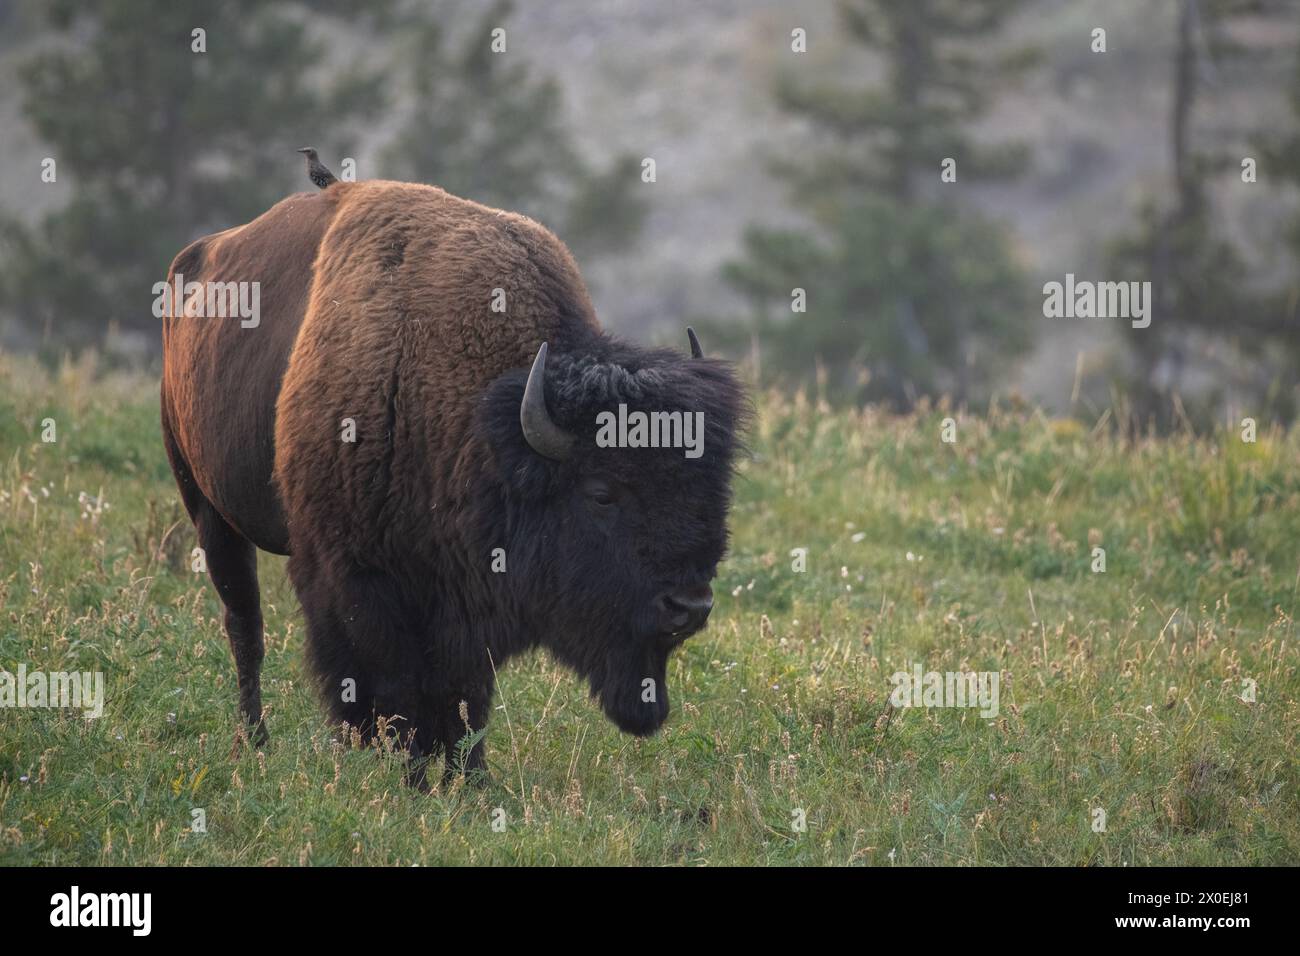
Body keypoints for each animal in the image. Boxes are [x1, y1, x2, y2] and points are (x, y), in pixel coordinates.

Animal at [160, 179, 747, 784]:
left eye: (713, 490)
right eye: (602, 494)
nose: (690, 605)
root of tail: (195, 260)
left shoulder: (464, 598)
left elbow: (466, 695)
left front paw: (469, 777)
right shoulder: (351, 578)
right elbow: (386, 687)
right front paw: (401, 771)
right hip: (207, 507)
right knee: (245, 627)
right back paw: (254, 742)